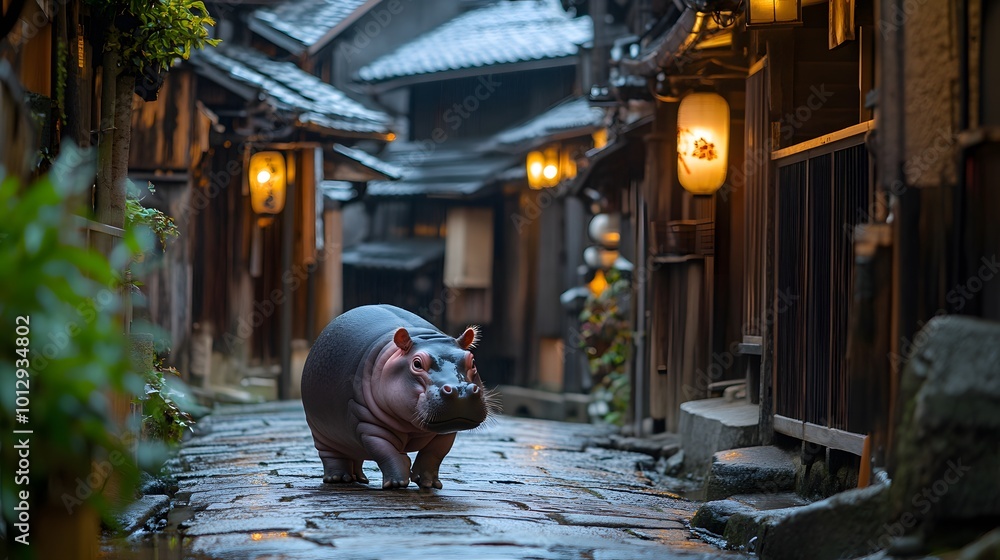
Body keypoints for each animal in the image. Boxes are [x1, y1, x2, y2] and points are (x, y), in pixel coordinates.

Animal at [301, 304, 497, 489]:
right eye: (417, 363)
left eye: (472, 360)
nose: (460, 390)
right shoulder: (369, 425)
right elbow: (387, 454)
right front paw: (396, 484)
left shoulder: (446, 432)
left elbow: (433, 455)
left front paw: (429, 484)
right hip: (321, 433)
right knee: (332, 456)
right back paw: (338, 478)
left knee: (355, 454)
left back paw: (360, 478)